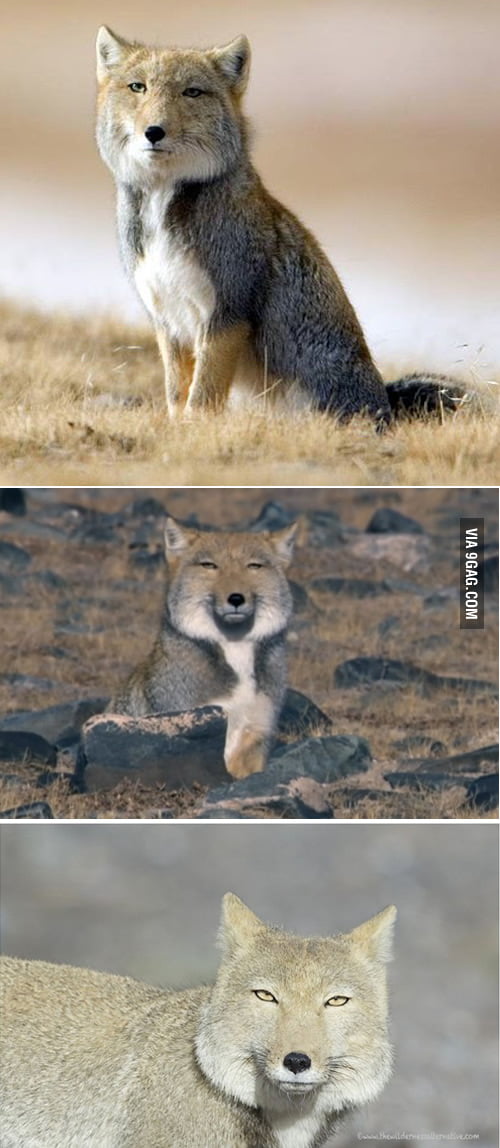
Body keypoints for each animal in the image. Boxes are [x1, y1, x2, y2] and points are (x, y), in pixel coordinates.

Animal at [95, 26, 462, 426]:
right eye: (138, 87)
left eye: (191, 92)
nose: (154, 131)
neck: (163, 204)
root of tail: (385, 406)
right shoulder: (168, 321)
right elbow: (178, 395)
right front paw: (179, 427)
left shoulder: (227, 312)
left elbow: (202, 397)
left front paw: (193, 427)